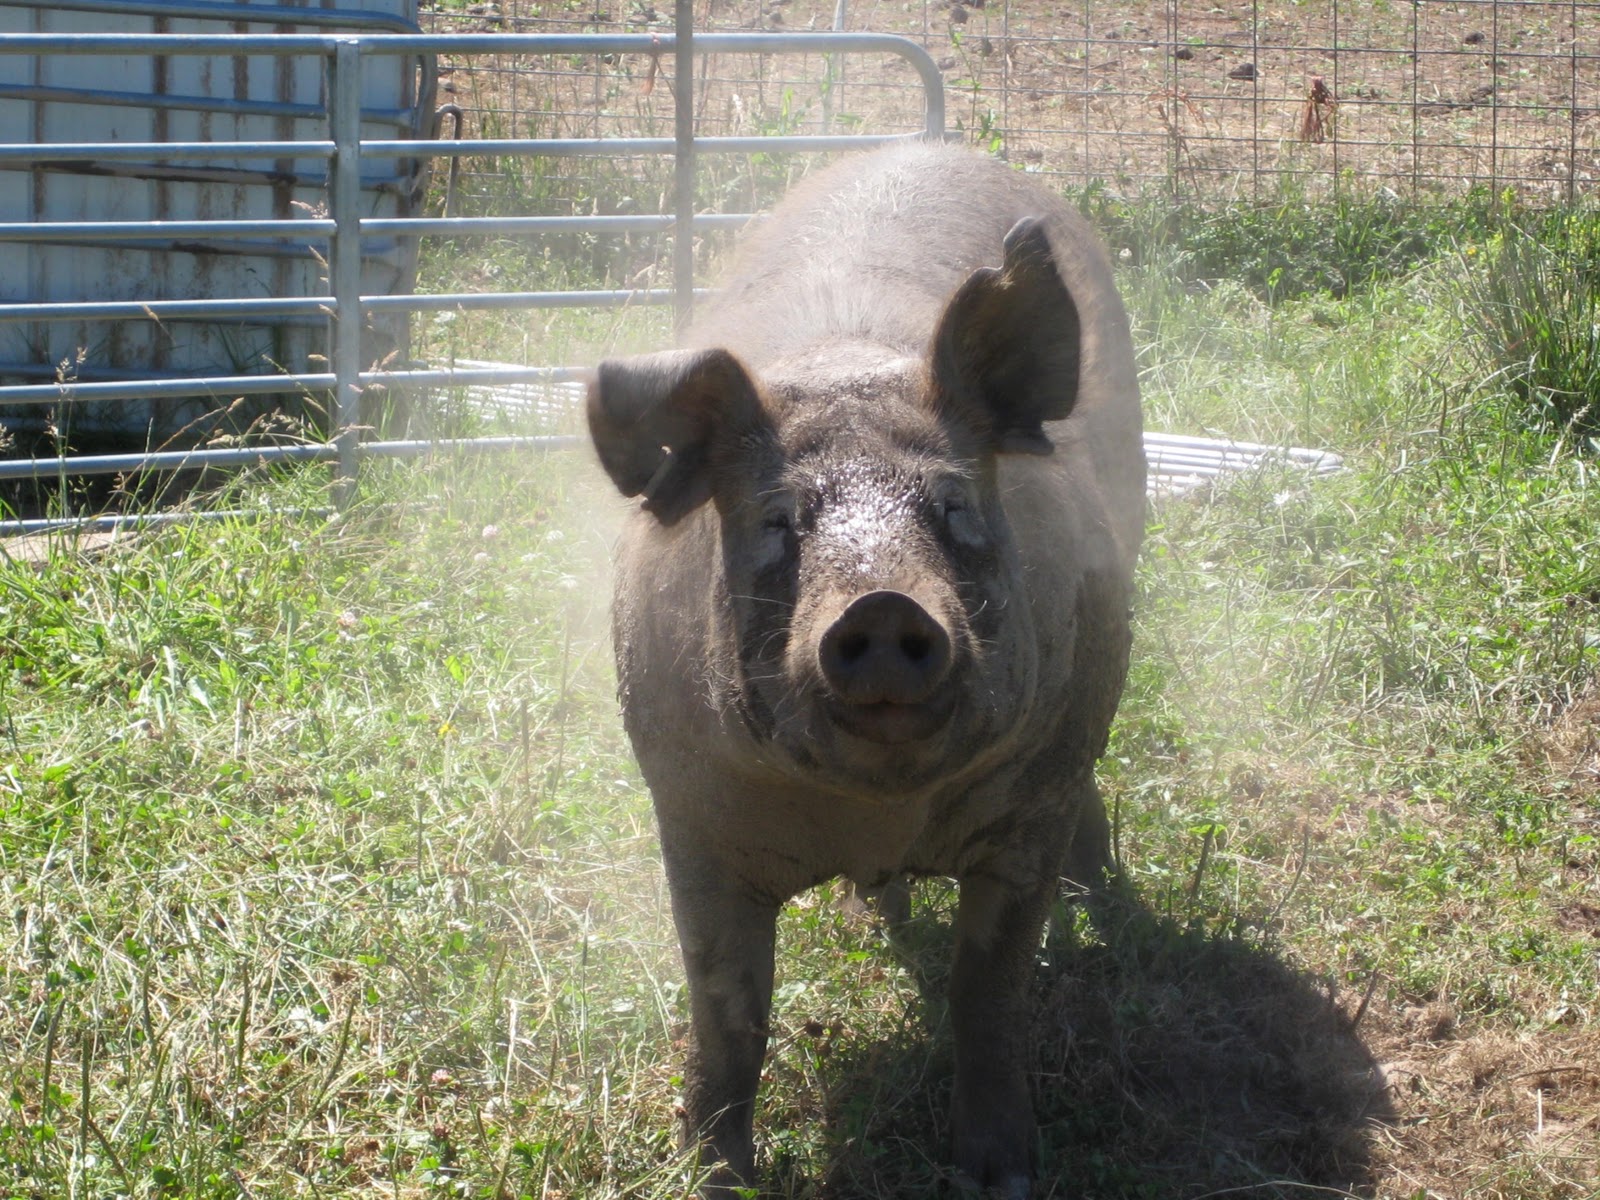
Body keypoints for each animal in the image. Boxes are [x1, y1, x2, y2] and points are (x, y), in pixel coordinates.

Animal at [585, 140, 1144, 1197]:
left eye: (954, 504)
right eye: (775, 521)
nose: (883, 604)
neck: (876, 815)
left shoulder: (1028, 813)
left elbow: (987, 992)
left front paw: (1002, 1174)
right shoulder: (689, 815)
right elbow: (729, 1017)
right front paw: (712, 1177)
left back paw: (1105, 901)